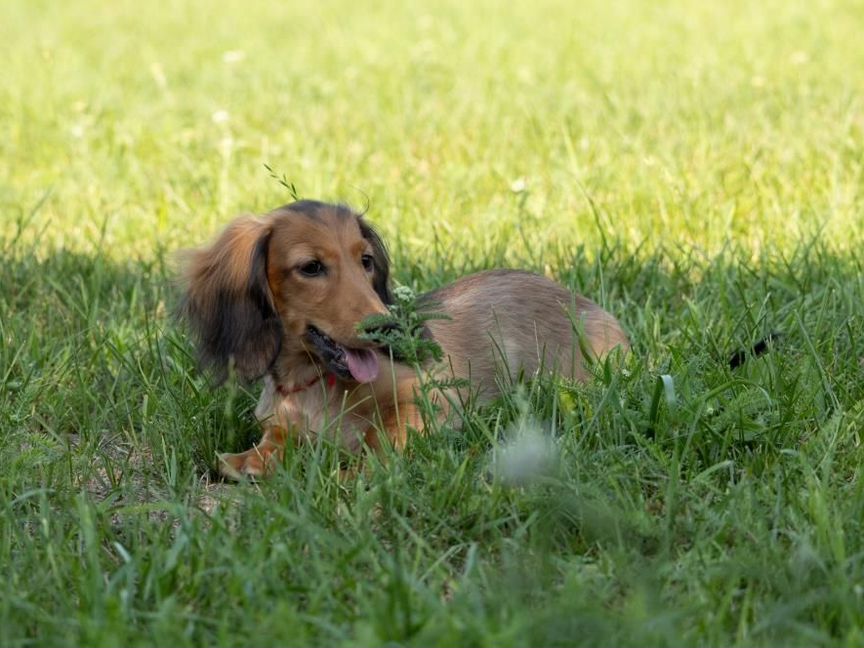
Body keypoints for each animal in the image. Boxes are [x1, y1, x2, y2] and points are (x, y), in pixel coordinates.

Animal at [182, 200, 628, 478]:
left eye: (365, 261)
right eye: (310, 267)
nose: (385, 329)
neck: (312, 382)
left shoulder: (430, 399)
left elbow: (383, 436)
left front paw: (353, 473)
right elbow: (270, 441)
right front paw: (252, 459)